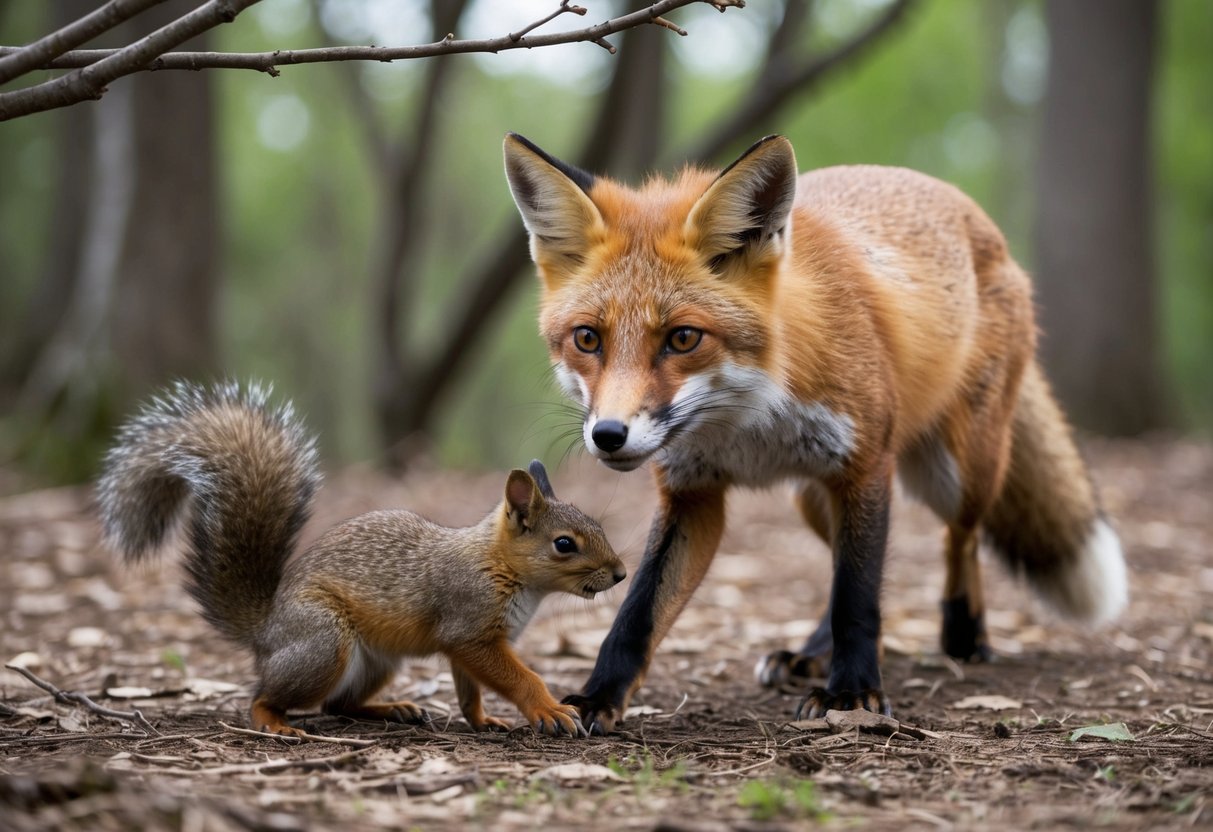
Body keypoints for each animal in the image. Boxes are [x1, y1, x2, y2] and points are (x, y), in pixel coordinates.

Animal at [97, 380, 625, 738]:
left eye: (598, 526)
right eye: (564, 544)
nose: (620, 574)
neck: (502, 565)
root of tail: (267, 631)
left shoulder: (473, 644)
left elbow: (468, 689)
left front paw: (483, 719)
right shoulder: (470, 627)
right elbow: (516, 675)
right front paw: (549, 710)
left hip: (377, 662)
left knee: (338, 705)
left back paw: (394, 709)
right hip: (323, 643)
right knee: (267, 696)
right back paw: (275, 721)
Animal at [501, 132, 1129, 735]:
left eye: (683, 338)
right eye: (587, 338)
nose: (609, 435)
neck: (751, 424)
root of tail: (968, 209)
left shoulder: (864, 467)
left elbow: (857, 597)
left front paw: (852, 694)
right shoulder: (693, 492)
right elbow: (638, 611)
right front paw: (597, 697)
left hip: (959, 471)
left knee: (959, 538)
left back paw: (964, 636)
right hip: (813, 498)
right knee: (853, 566)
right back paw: (814, 654)